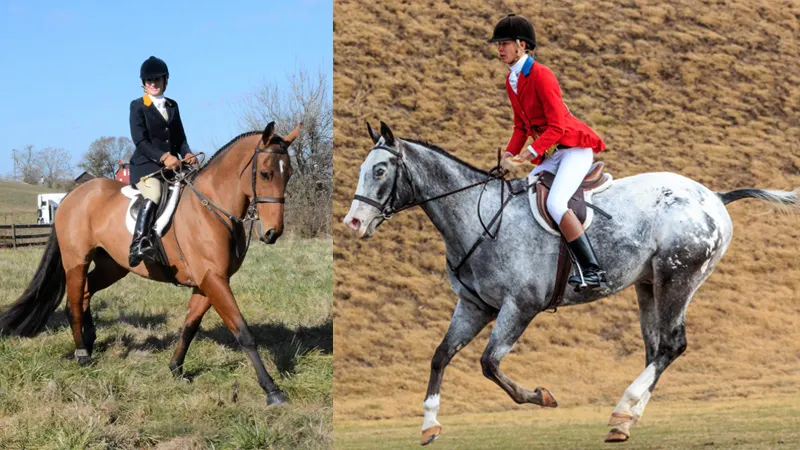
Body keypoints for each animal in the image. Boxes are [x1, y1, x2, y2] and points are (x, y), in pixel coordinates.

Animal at [0, 122, 299, 406]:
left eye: (289, 174)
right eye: (265, 174)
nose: (273, 232)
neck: (211, 208)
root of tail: (72, 196)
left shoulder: (208, 282)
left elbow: (190, 325)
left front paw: (176, 368)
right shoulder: (213, 278)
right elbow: (242, 331)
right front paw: (272, 390)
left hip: (112, 267)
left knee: (85, 293)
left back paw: (90, 340)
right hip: (77, 261)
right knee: (74, 300)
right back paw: (83, 354)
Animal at [342, 122, 800, 444]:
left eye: (379, 170)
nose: (353, 223)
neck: (478, 219)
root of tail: (713, 198)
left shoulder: (520, 307)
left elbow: (489, 363)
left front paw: (541, 396)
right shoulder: (475, 307)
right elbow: (440, 356)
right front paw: (429, 424)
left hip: (678, 278)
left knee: (672, 345)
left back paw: (622, 410)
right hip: (648, 284)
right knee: (656, 349)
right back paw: (625, 421)